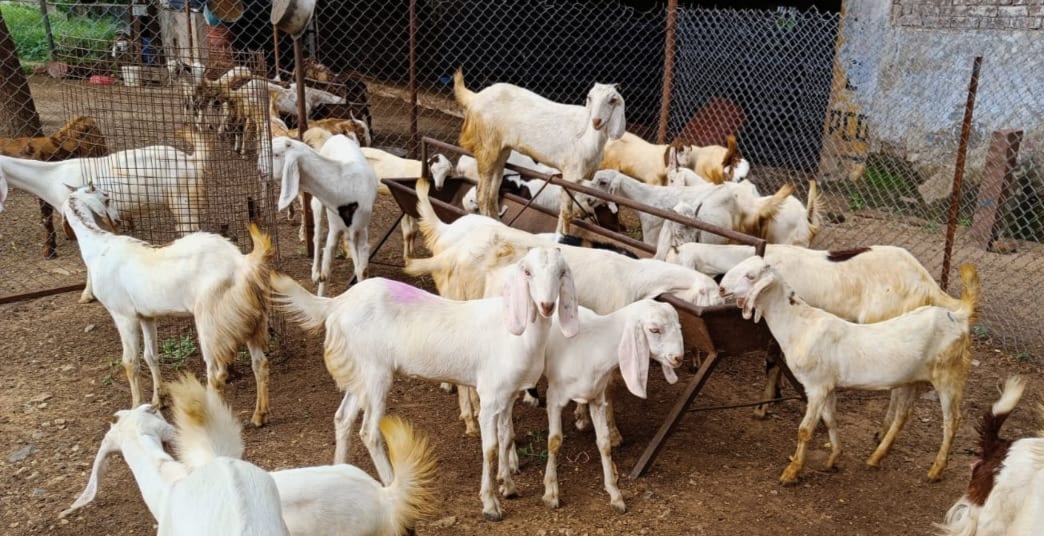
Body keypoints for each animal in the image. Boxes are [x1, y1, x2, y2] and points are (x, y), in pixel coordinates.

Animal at [61, 185, 274, 426]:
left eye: (107, 197)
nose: (117, 219)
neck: (99, 247)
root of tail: (244, 264)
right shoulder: (146, 316)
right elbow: (150, 356)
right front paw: (158, 400)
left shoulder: (123, 314)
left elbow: (130, 362)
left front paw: (135, 407)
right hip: (255, 321)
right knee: (260, 363)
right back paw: (260, 415)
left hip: (212, 324)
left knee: (217, 373)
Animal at [267, 135, 377, 295]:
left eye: (275, 154)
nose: (259, 170)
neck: (345, 186)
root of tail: (337, 136)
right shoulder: (335, 229)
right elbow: (326, 271)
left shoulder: (361, 229)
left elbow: (362, 270)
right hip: (318, 204)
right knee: (317, 236)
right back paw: (314, 273)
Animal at [271, 245, 579, 521]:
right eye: (527, 272)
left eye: (562, 272)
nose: (547, 305)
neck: (517, 334)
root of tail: (338, 303)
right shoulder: (490, 395)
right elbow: (490, 448)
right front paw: (490, 505)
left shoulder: (508, 394)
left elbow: (506, 438)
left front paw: (508, 486)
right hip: (376, 372)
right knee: (369, 431)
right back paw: (393, 486)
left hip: (361, 372)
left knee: (342, 418)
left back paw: (340, 470)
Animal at [454, 68, 624, 234]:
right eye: (590, 97)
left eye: (612, 100)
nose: (596, 121)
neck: (588, 138)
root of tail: (476, 97)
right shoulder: (570, 174)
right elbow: (566, 214)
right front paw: (562, 236)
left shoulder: (580, 180)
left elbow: (566, 212)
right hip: (487, 145)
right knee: (482, 194)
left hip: (501, 151)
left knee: (493, 194)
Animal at [719, 257, 979, 484]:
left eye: (751, 276)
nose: (721, 288)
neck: (800, 325)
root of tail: (958, 316)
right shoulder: (827, 385)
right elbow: (830, 420)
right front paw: (834, 457)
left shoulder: (816, 385)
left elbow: (805, 430)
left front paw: (792, 472)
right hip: (911, 379)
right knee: (903, 415)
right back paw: (876, 457)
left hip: (949, 375)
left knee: (951, 421)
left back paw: (936, 470)